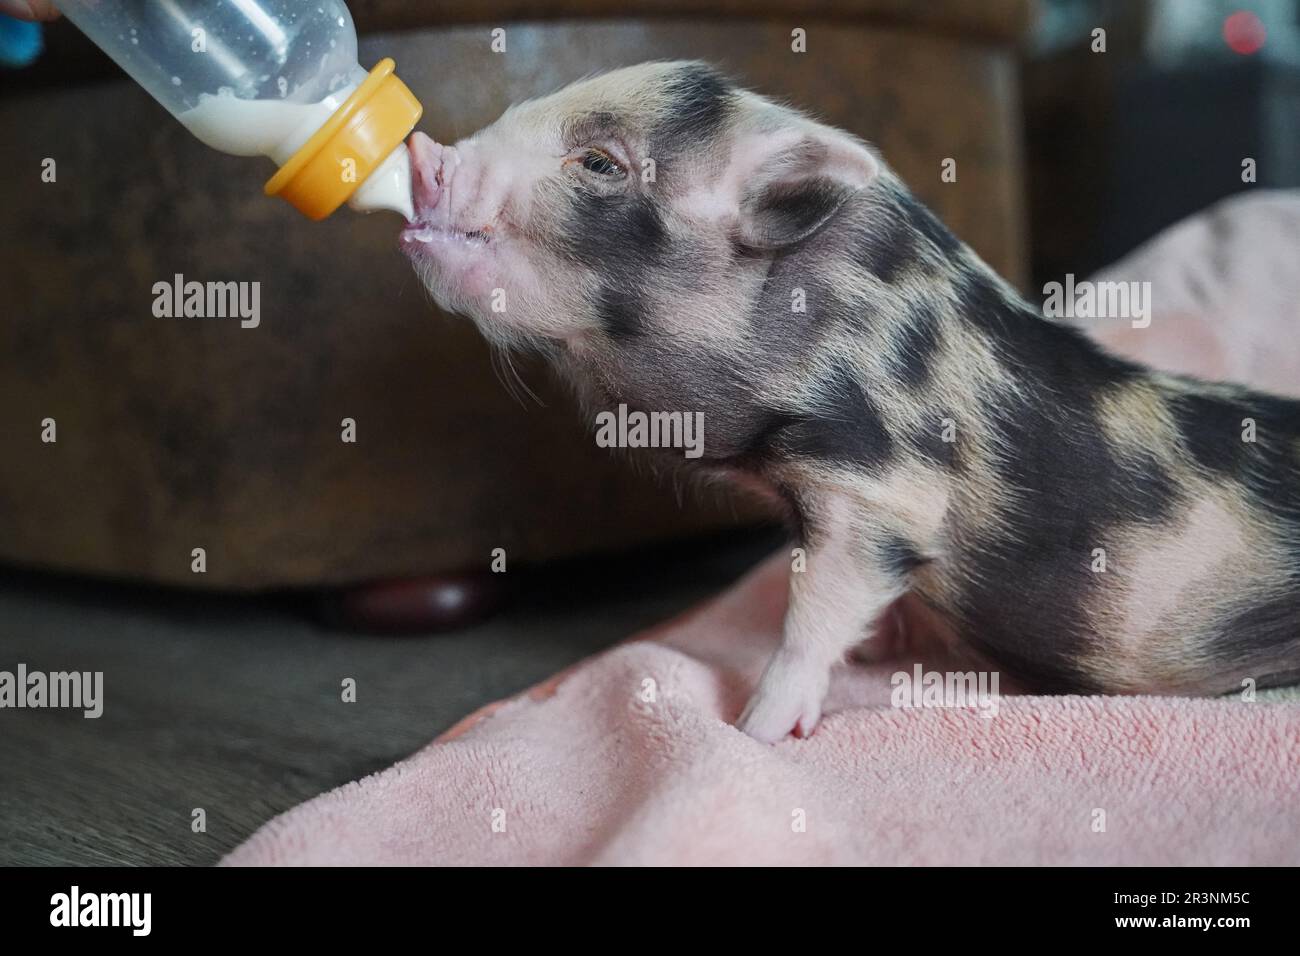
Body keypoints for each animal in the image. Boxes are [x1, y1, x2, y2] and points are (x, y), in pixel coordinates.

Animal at [401, 61, 1300, 742]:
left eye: (600, 163)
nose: (420, 148)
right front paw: (877, 654)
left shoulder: (878, 486)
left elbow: (815, 610)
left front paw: (756, 729)